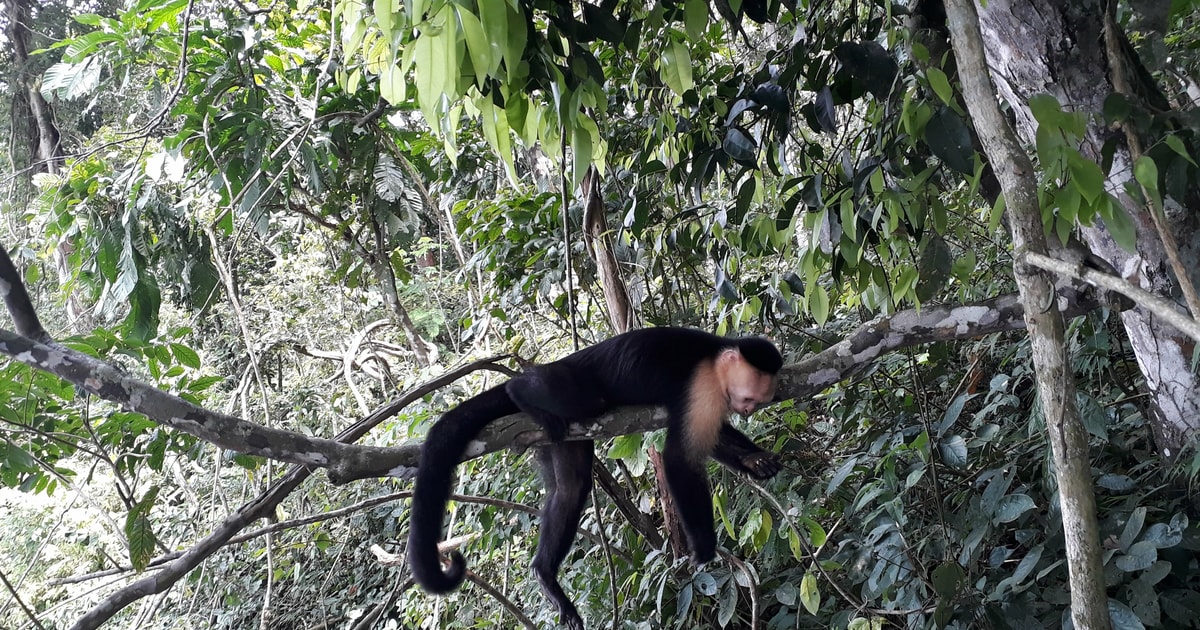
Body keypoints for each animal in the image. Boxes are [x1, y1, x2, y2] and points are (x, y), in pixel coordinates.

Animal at [407, 327, 784, 630]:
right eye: (749, 398)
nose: (747, 411)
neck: (717, 358)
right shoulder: (704, 387)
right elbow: (680, 458)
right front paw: (703, 548)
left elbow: (712, 439)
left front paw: (753, 459)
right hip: (570, 379)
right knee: (583, 400)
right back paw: (518, 391)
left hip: (559, 437)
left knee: (571, 488)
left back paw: (545, 574)